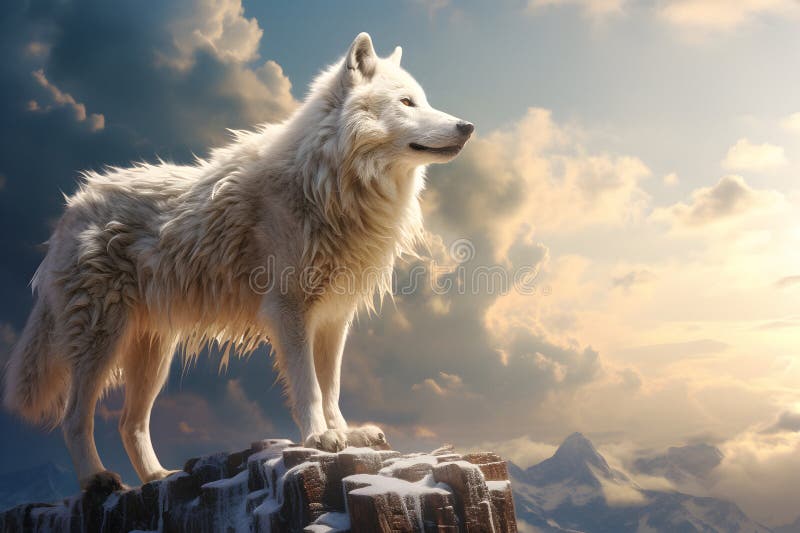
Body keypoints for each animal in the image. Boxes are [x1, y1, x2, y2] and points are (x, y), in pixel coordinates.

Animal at [2, 33, 473, 489]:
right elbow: (309, 386)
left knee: (129, 423)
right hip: (101, 342)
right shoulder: (288, 309)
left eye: (423, 99)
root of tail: (71, 208)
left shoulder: (334, 319)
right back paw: (96, 478)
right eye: (407, 102)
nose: (467, 126)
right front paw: (318, 437)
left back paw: (159, 477)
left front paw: (345, 432)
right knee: (74, 419)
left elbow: (332, 388)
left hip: (154, 357)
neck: (331, 181)